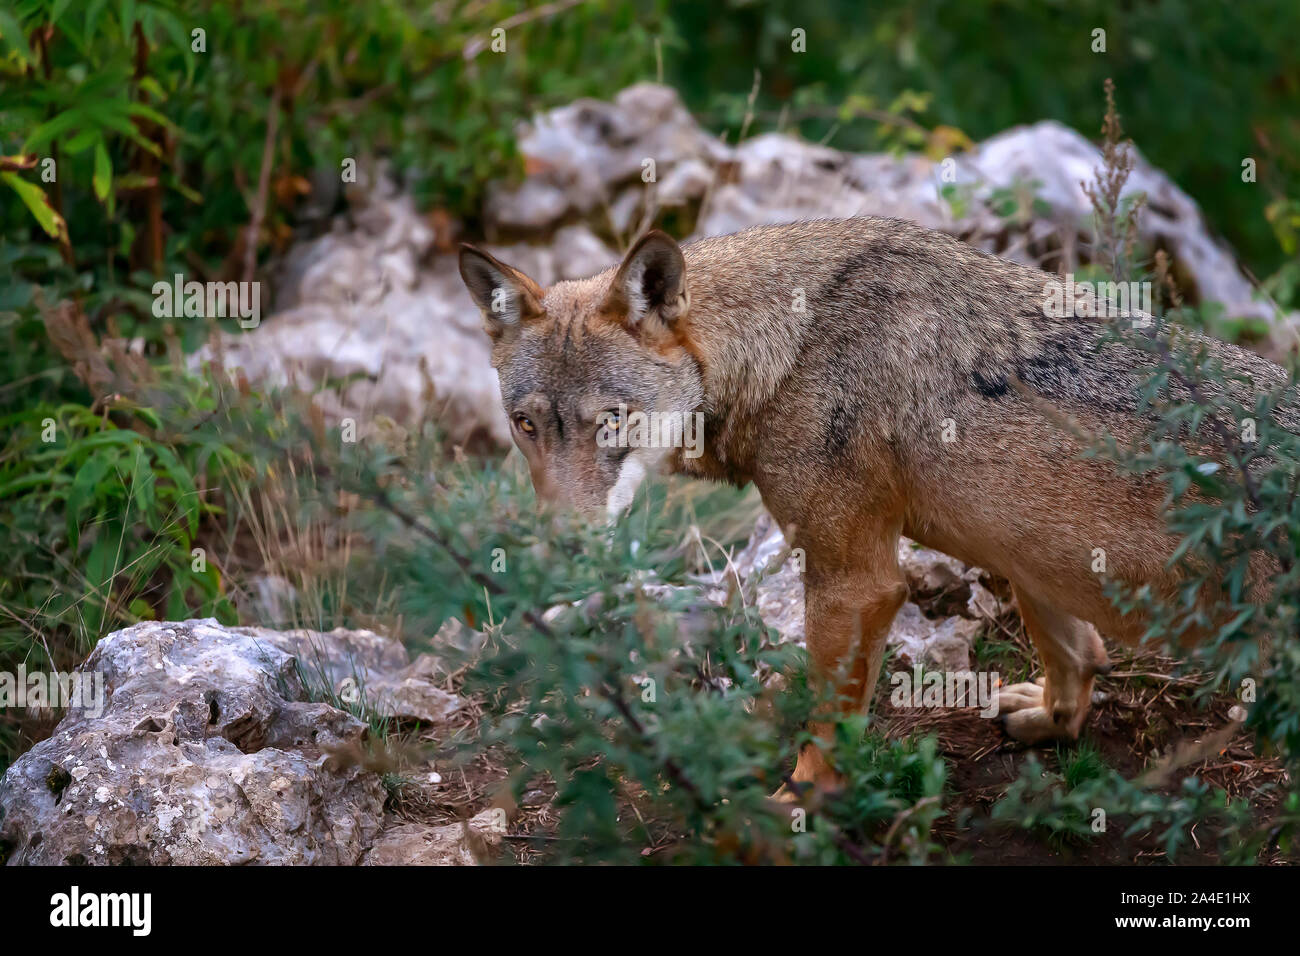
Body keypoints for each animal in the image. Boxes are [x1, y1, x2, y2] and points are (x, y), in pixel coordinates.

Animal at [459, 217, 1289, 792]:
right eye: (526, 426)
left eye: (611, 422)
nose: (564, 548)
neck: (788, 347)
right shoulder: (1026, 551)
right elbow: (1076, 655)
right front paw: (1054, 721)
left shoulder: (855, 581)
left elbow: (828, 730)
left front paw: (797, 808)